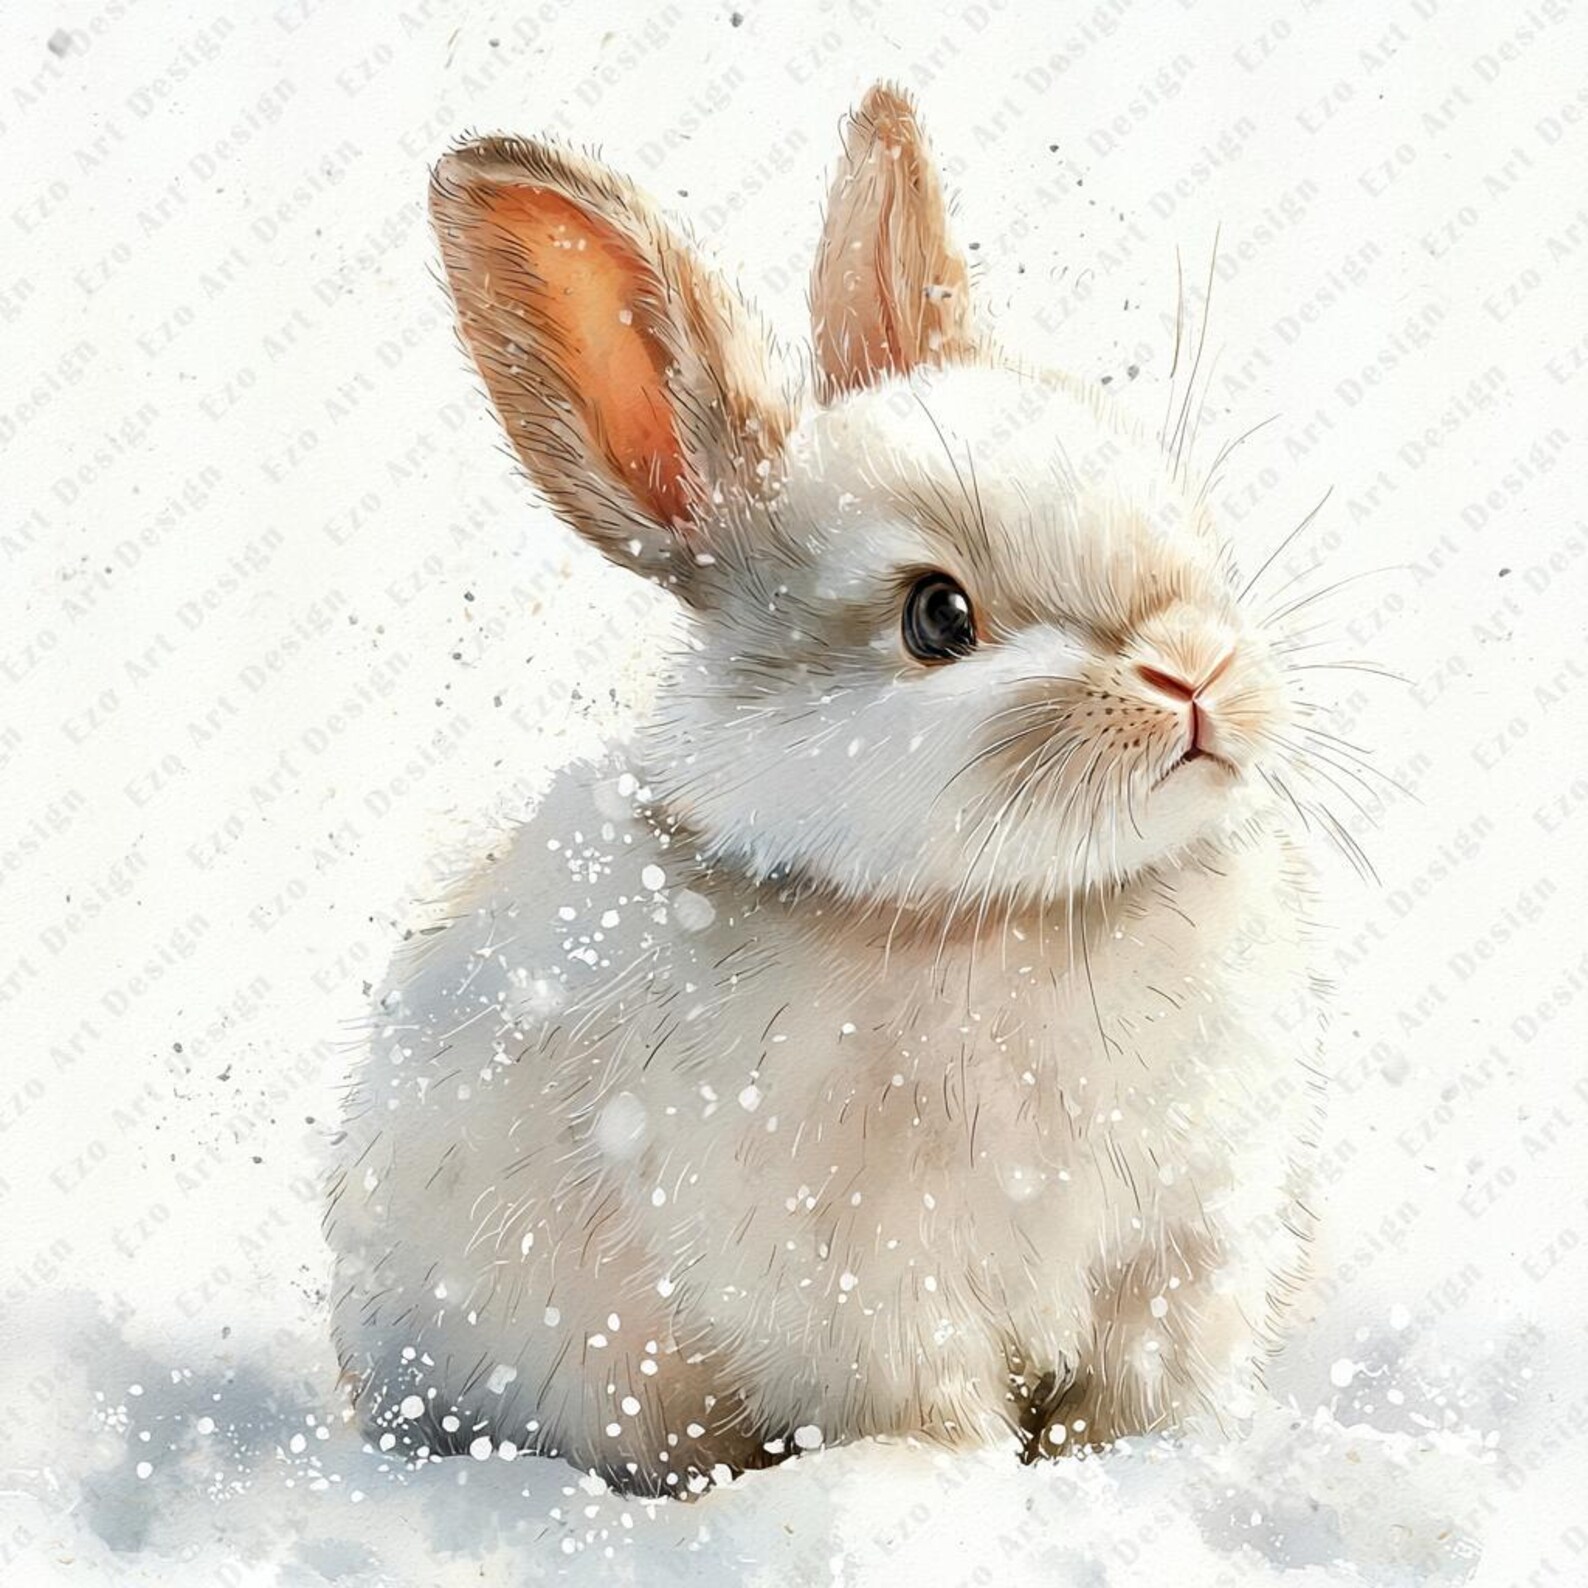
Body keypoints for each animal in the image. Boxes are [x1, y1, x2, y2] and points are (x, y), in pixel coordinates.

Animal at [324, 82, 1331, 1498]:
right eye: (937, 617)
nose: (1195, 674)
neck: (1021, 913)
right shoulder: (864, 1291)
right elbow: (930, 1408)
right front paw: (949, 1492)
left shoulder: (1185, 1244)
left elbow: (1140, 1394)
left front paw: (1138, 1474)